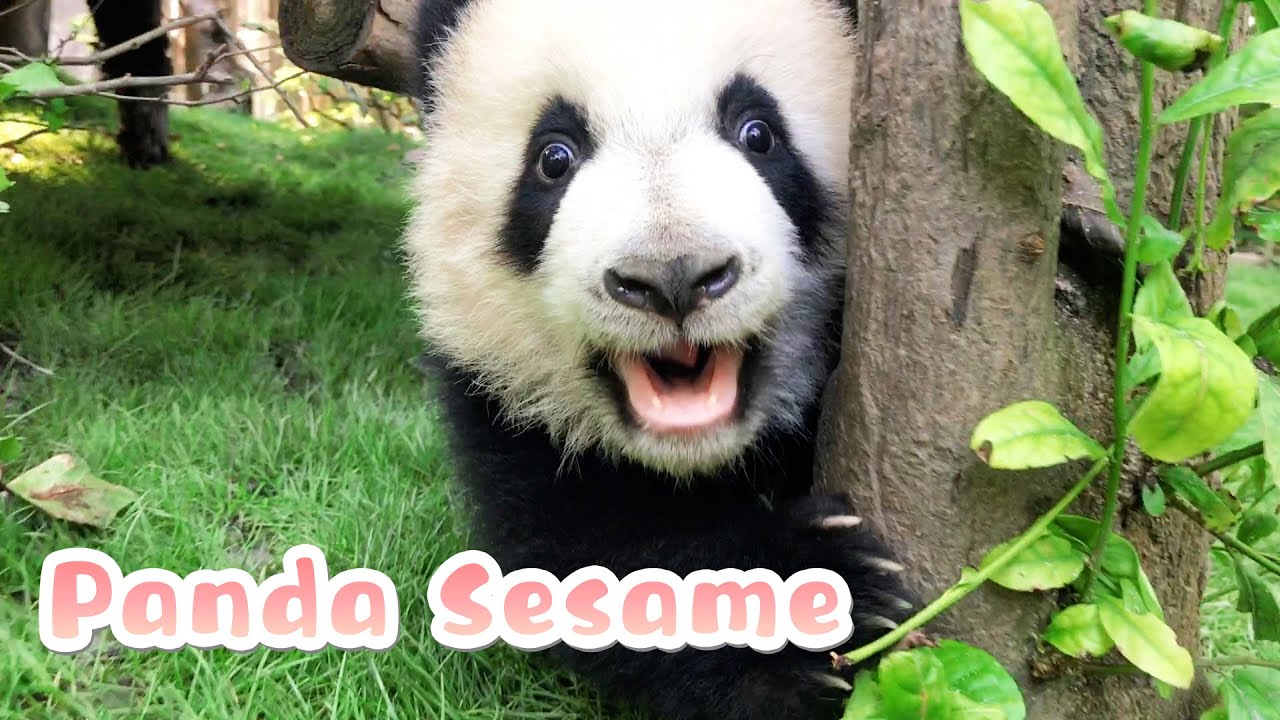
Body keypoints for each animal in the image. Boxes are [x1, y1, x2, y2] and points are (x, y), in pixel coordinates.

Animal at [403, 1, 915, 718]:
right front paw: (810, 597)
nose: (673, 276)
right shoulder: (498, 403)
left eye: (758, 133)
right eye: (553, 156)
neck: (698, 456)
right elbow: (587, 549)